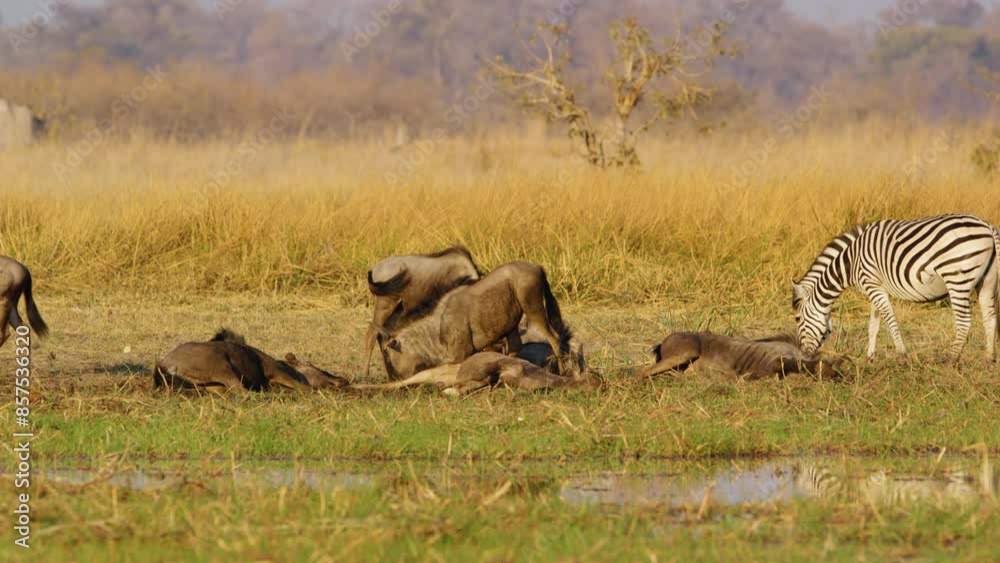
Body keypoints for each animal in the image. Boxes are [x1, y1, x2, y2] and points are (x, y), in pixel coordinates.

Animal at [791, 214, 1000, 360]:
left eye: (798, 319)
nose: (803, 356)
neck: (851, 261)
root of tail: (988, 226)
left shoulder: (872, 285)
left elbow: (890, 319)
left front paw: (901, 354)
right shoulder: (875, 286)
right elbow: (874, 324)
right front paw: (870, 357)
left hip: (957, 278)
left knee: (964, 321)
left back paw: (950, 359)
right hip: (986, 281)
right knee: (990, 318)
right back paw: (988, 358)